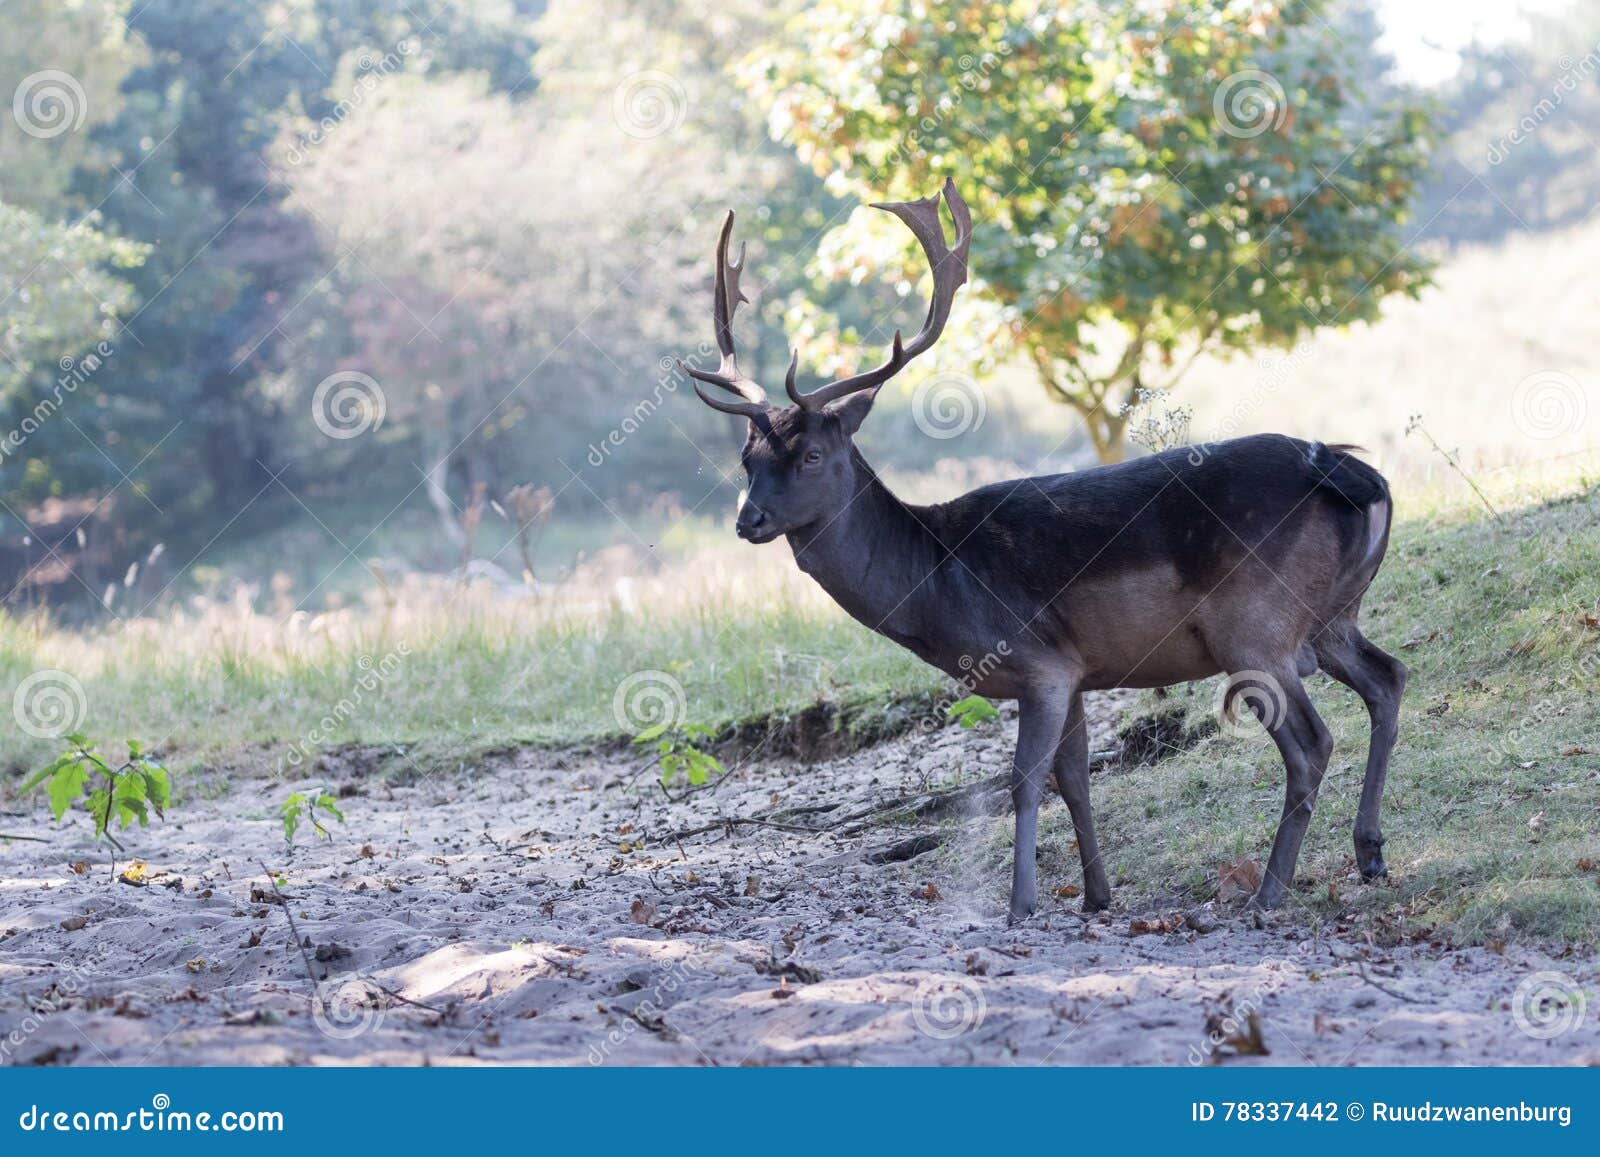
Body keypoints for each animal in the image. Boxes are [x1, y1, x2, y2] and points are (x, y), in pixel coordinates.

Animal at [677, 180, 1405, 923]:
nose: (748, 519)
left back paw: (1269, 889)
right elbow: (1076, 778)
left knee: (1313, 741)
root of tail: (1349, 472)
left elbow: (1026, 780)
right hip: (1332, 615)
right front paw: (1095, 895)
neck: (938, 579)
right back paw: (1369, 853)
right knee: (1389, 677)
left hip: (1253, 625)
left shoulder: (1039, 661)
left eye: (812, 455)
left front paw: (1021, 902)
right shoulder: (1079, 671)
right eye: (748, 459)